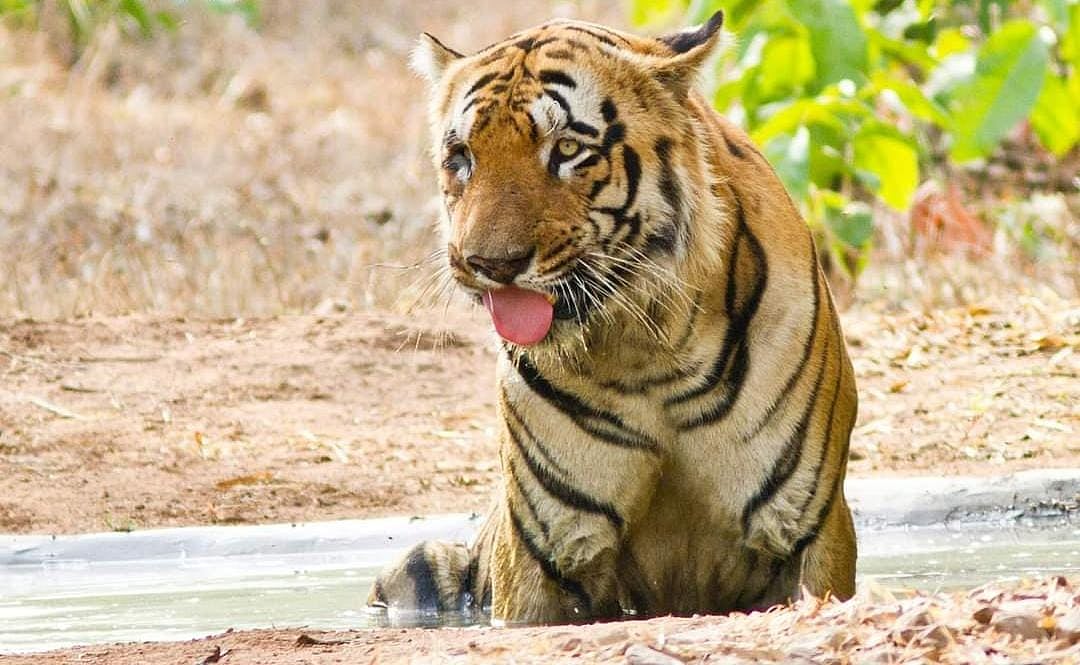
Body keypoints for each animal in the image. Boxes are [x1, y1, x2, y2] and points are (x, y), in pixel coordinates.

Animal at [368, 10, 858, 625]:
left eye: (566, 149)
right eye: (462, 158)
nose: (489, 265)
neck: (645, 349)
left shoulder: (807, 528)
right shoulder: (545, 549)